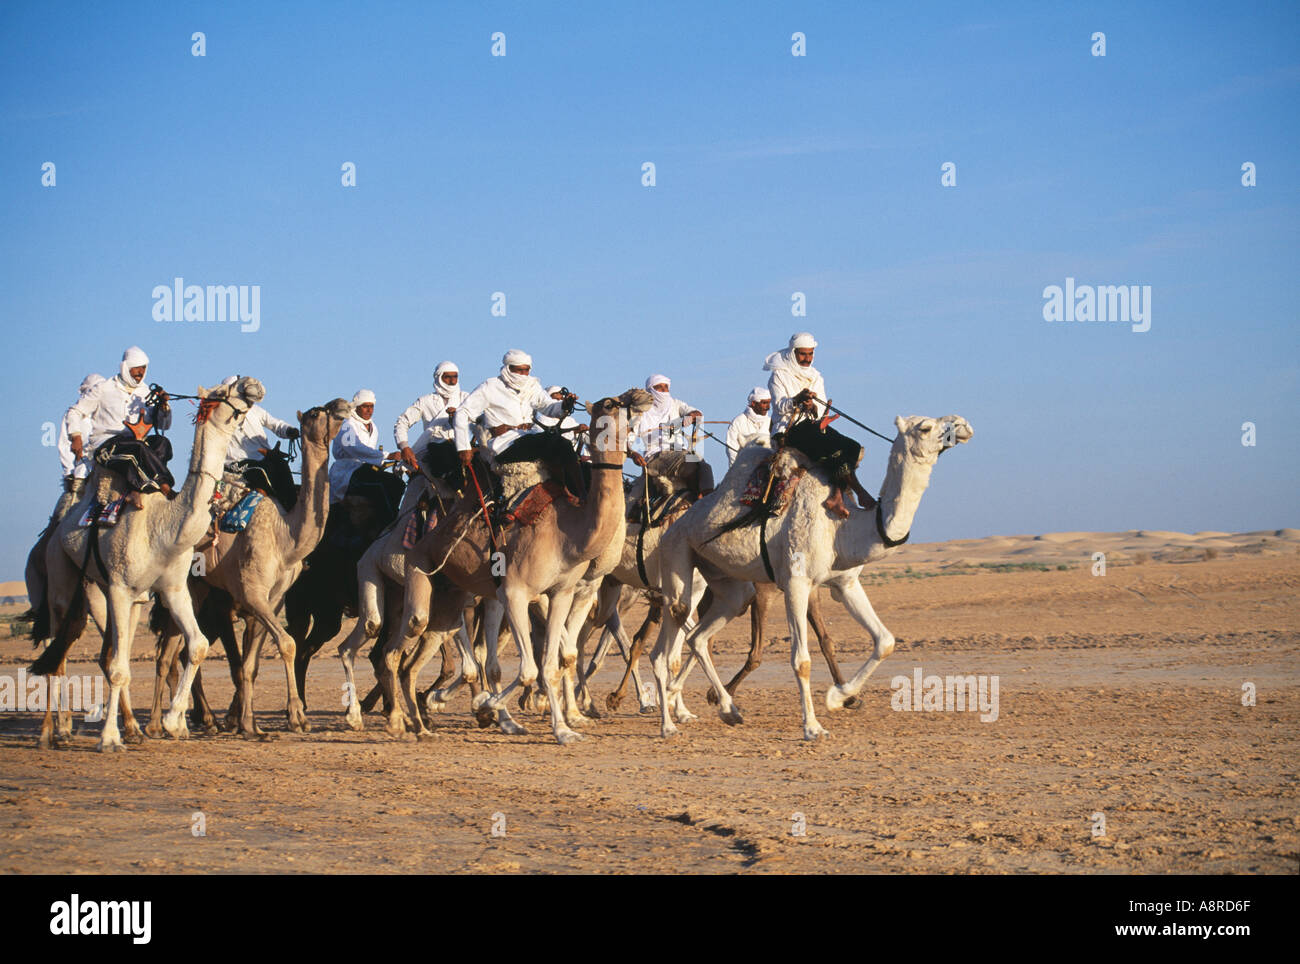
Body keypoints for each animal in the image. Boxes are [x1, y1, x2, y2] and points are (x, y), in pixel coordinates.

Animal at [32, 377, 266, 751]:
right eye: (220, 393)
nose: (252, 384)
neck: (166, 528)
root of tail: (57, 527)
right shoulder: (120, 587)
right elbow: (119, 668)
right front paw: (109, 740)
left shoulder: (172, 588)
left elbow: (197, 646)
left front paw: (172, 723)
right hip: (64, 580)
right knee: (60, 654)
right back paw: (52, 734)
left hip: (111, 594)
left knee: (106, 653)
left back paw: (132, 729)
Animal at [147, 398, 351, 738]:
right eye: (315, 412)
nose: (343, 404)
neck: (286, 539)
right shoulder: (251, 591)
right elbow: (286, 645)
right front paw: (296, 717)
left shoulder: (271, 600)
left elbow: (250, 665)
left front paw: (250, 724)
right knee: (167, 655)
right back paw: (156, 725)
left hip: (197, 591)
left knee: (173, 651)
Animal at [396, 389, 652, 745]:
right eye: (611, 404)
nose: (641, 396)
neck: (570, 531)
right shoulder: (518, 593)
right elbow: (531, 667)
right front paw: (487, 705)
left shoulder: (562, 592)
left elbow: (553, 662)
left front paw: (565, 729)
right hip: (422, 574)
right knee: (404, 647)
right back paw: (412, 716)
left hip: (457, 595)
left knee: (430, 655)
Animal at [649, 414, 973, 740]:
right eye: (925, 427)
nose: (961, 424)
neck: (844, 528)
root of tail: (674, 524)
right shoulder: (796, 583)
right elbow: (801, 660)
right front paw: (813, 727)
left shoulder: (846, 584)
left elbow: (885, 641)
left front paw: (838, 696)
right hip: (677, 553)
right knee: (669, 637)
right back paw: (668, 724)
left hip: (727, 585)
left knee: (699, 635)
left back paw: (727, 709)